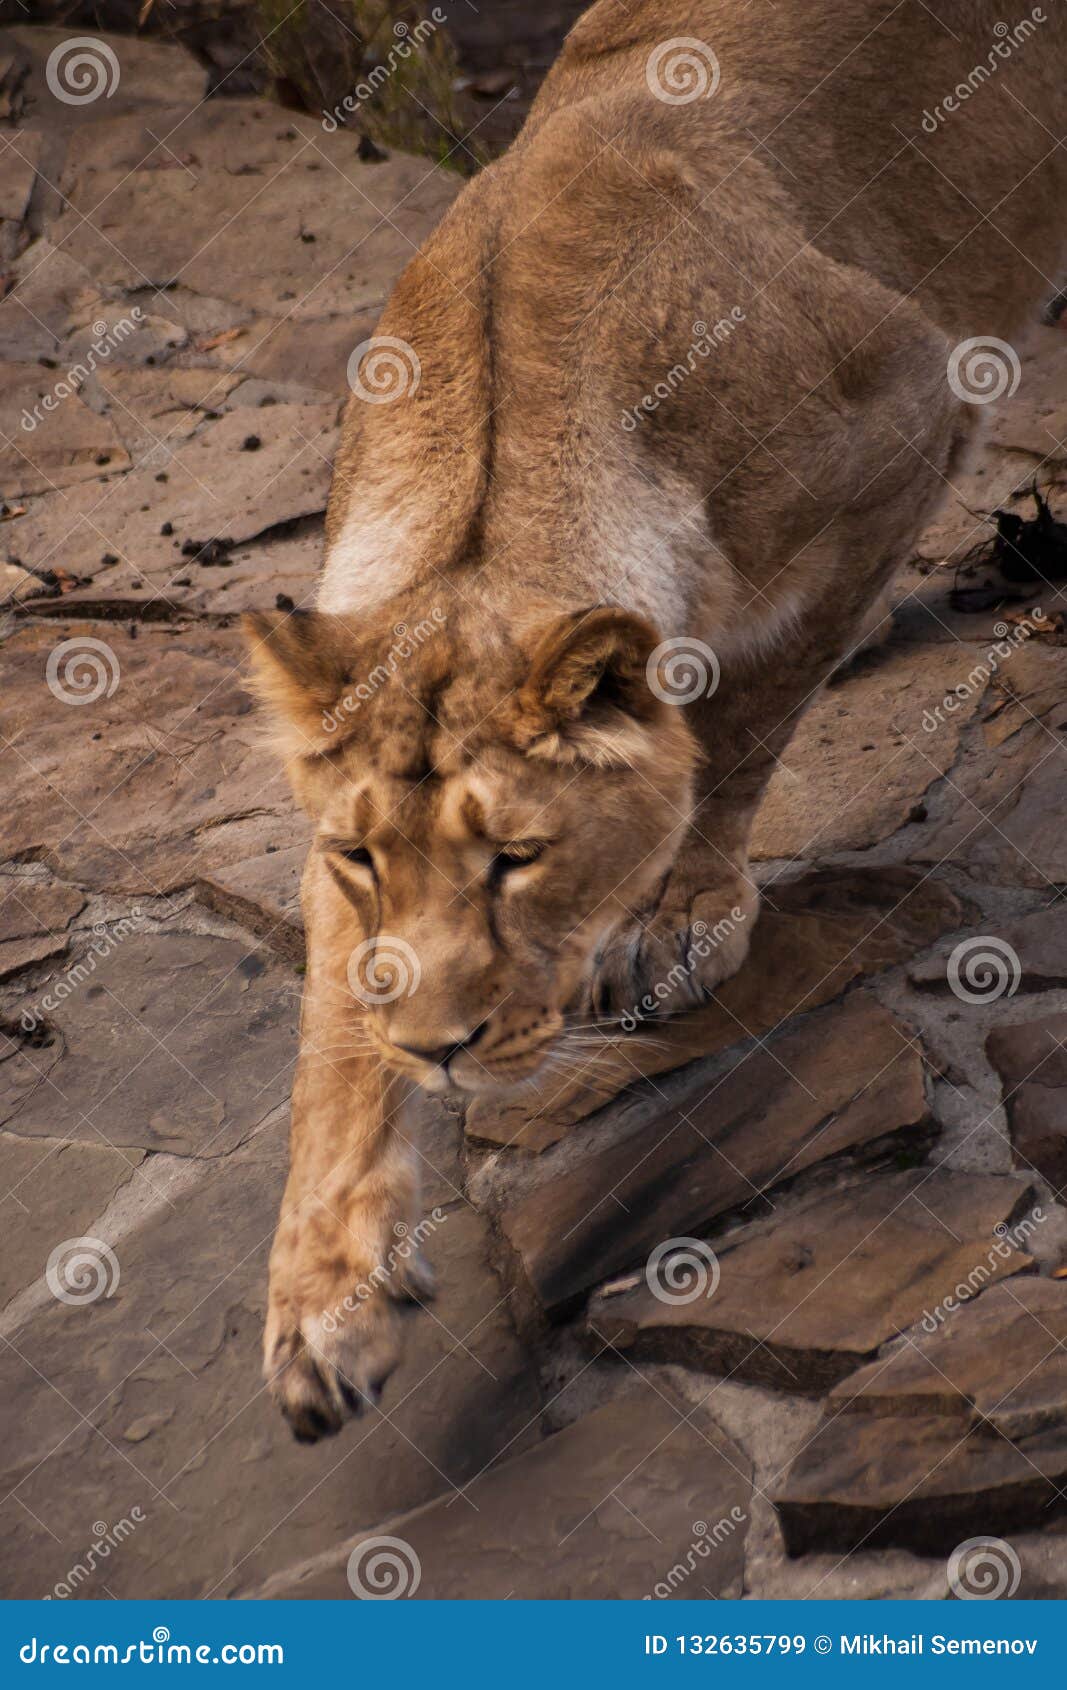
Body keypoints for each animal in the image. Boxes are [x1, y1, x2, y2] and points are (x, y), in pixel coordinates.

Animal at [245, 0, 1067, 1440]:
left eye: (517, 860)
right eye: (359, 858)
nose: (439, 1054)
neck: (494, 460)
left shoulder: (909, 405)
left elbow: (739, 718)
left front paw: (680, 908)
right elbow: (335, 1041)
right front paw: (325, 1299)